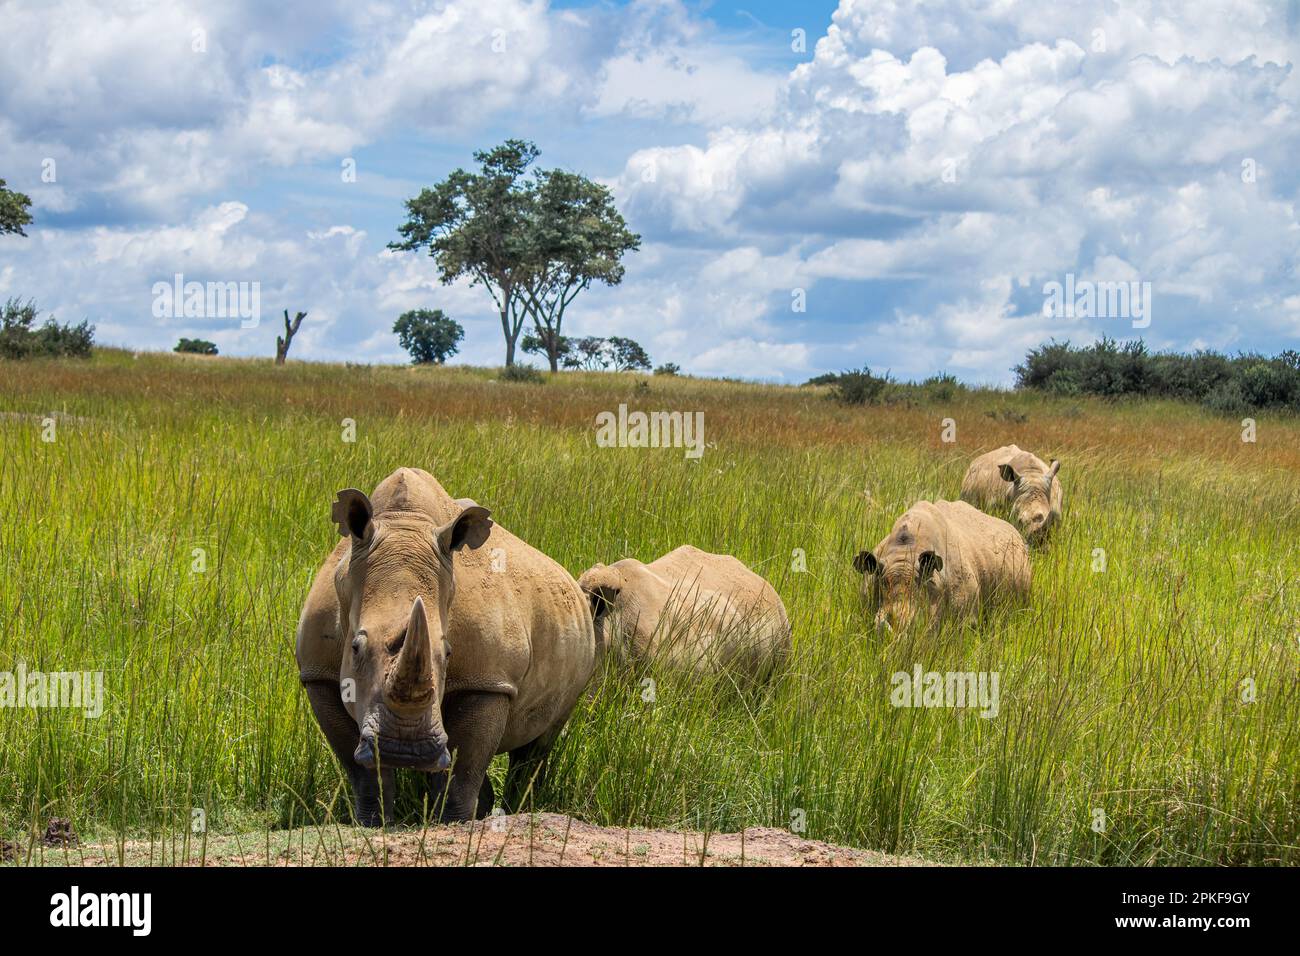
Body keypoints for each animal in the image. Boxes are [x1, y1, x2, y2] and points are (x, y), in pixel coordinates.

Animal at [295, 467, 596, 825]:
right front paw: (372, 822)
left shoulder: (487, 680)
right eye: (355, 647)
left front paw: (455, 822)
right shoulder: (318, 673)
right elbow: (361, 771)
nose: (405, 750)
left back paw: (519, 809)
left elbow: (462, 768)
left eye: (448, 653)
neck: (404, 522)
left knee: (536, 747)